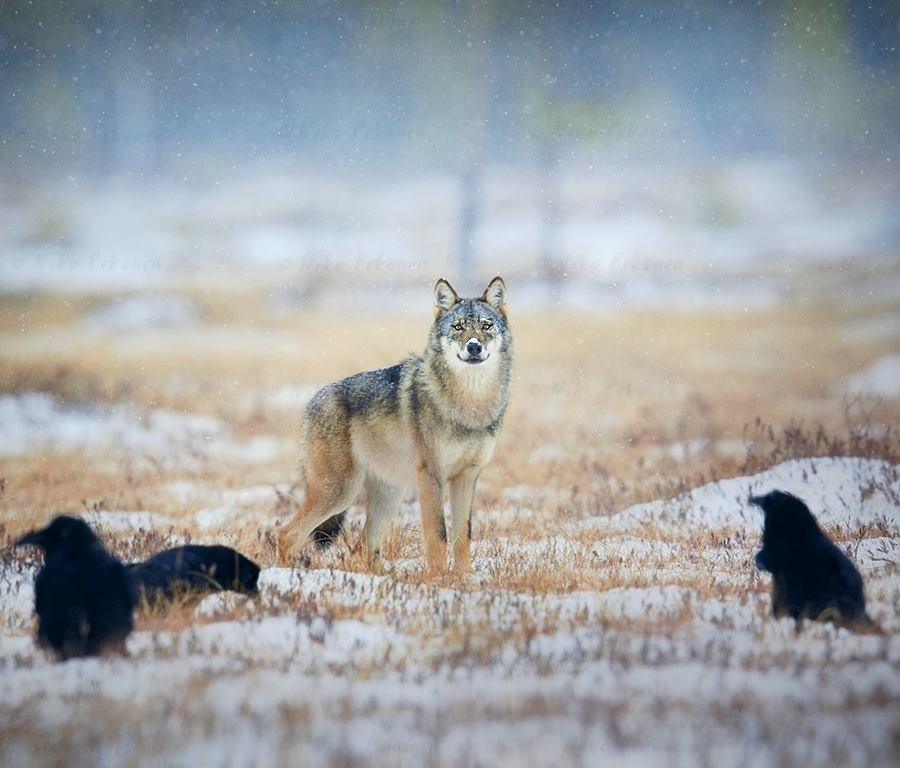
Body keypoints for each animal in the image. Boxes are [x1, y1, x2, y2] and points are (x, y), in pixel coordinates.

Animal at [277, 276, 511, 573]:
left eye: (486, 325)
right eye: (458, 327)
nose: (473, 347)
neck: (470, 405)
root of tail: (313, 401)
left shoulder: (468, 476)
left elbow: (463, 535)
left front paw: (465, 576)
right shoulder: (431, 475)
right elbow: (438, 535)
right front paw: (439, 578)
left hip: (388, 496)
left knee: (361, 548)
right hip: (340, 492)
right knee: (287, 534)